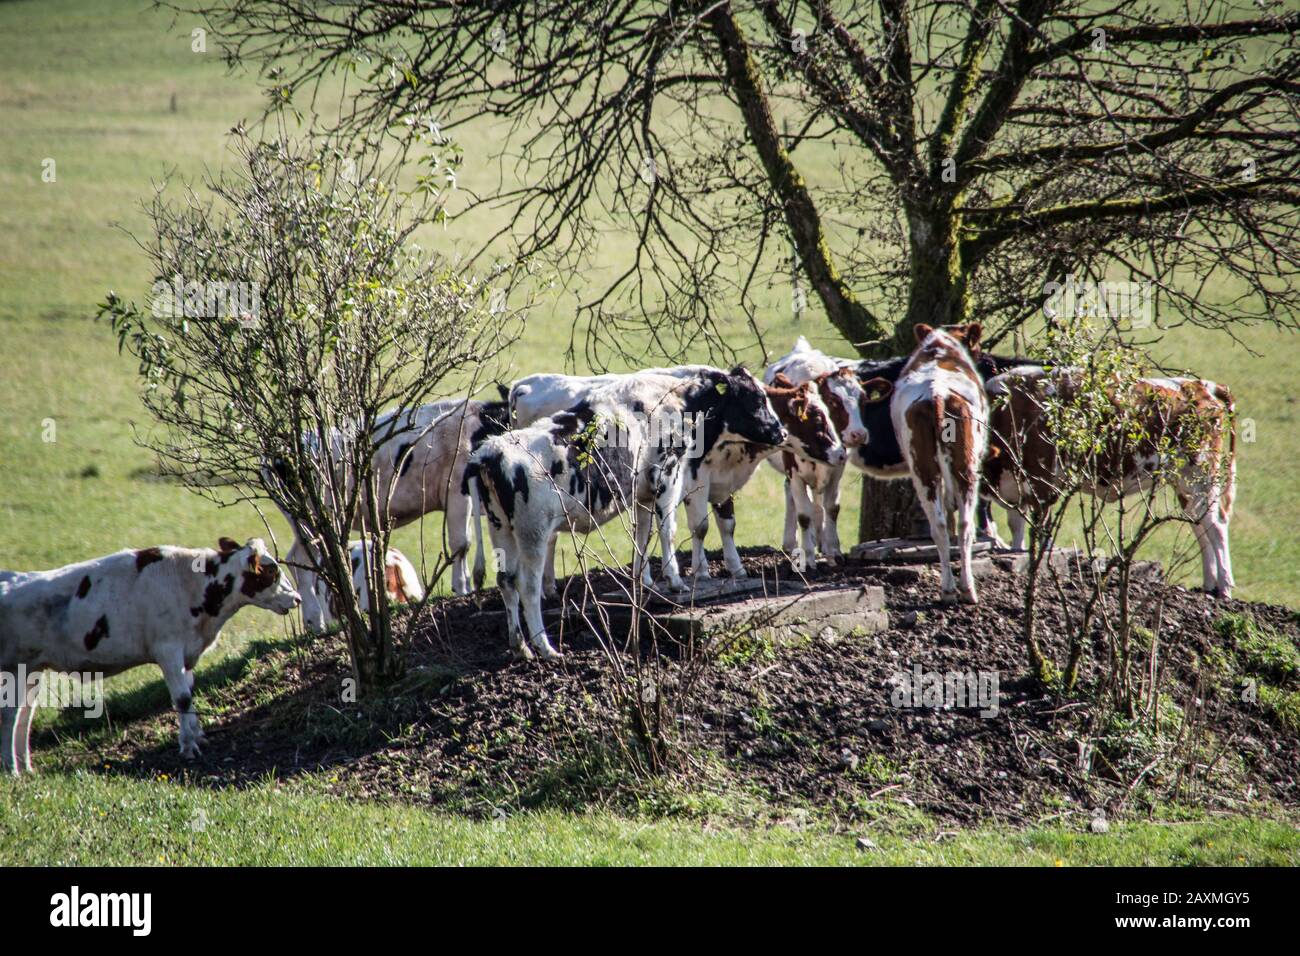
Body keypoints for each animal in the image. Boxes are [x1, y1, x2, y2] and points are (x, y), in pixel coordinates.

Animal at [0, 538, 300, 773]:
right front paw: (188, 747)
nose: (297, 598)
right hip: (14, 668)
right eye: (271, 572)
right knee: (9, 715)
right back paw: (12, 769)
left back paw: (26, 768)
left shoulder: (187, 654)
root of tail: (10, 577)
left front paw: (197, 736)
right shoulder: (168, 650)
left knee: (25, 715)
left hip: (33, 670)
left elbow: (189, 693)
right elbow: (181, 698)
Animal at [268, 395, 509, 632]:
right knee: (303, 561)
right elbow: (461, 544)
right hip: (312, 519)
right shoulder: (457, 494)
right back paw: (315, 622)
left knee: (298, 560)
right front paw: (462, 590)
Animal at [467, 368, 786, 660]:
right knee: (528, 587)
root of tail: (489, 451)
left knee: (507, 582)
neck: (672, 398)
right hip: (532, 532)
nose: (782, 432)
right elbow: (667, 530)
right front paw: (675, 581)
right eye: (757, 399)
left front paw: (643, 581)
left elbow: (643, 535)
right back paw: (546, 648)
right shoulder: (667, 475)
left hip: (501, 528)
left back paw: (520, 647)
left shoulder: (642, 493)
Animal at [891, 323, 990, 604]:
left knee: (942, 523)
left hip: (924, 468)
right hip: (968, 465)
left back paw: (950, 588)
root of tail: (936, 392)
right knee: (964, 523)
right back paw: (963, 590)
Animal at [983, 366, 1237, 597]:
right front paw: (1017, 553)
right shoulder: (1015, 487)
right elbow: (1016, 527)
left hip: (1201, 476)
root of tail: (1201, 385)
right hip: (1185, 485)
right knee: (1200, 526)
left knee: (1216, 526)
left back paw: (1224, 587)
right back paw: (1209, 585)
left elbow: (1038, 531)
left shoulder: (1042, 484)